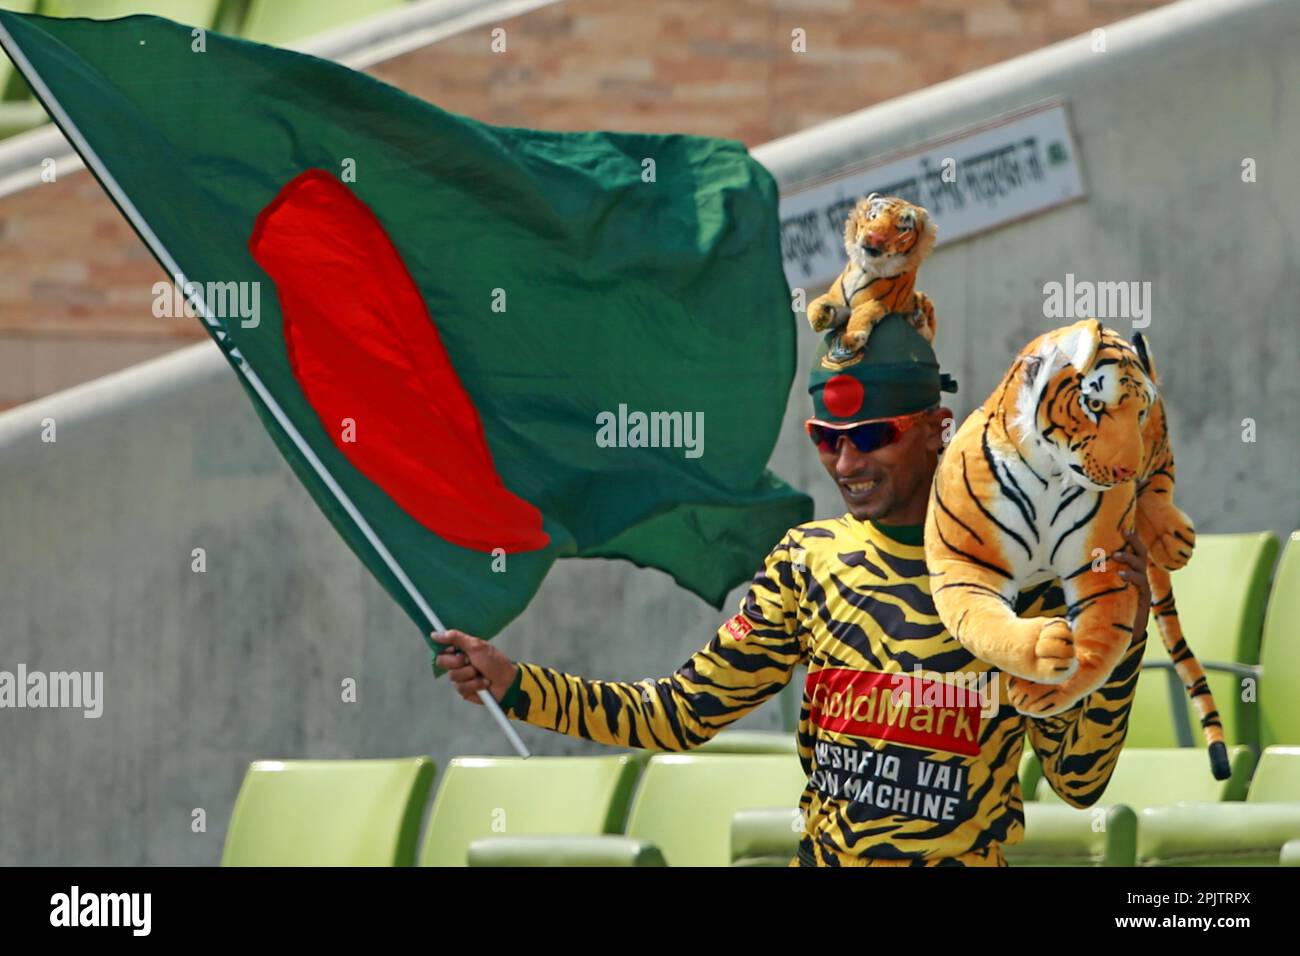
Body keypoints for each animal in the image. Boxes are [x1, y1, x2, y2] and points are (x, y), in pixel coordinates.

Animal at [806, 193, 938, 354]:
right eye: (873, 216)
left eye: (903, 229)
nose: (875, 237)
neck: (864, 268)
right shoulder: (839, 301)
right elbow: (815, 302)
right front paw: (819, 316)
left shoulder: (882, 302)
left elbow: (863, 311)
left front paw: (852, 337)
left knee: (928, 335)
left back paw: (917, 319)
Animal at [923, 318, 1230, 779]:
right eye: (1095, 405)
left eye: (1137, 412)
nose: (1125, 471)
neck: (1048, 474)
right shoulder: (967, 564)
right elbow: (983, 623)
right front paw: (1041, 647)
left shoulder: (1100, 568)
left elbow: (1099, 644)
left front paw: (1041, 691)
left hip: (1159, 442)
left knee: (1161, 474)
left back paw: (1173, 536)